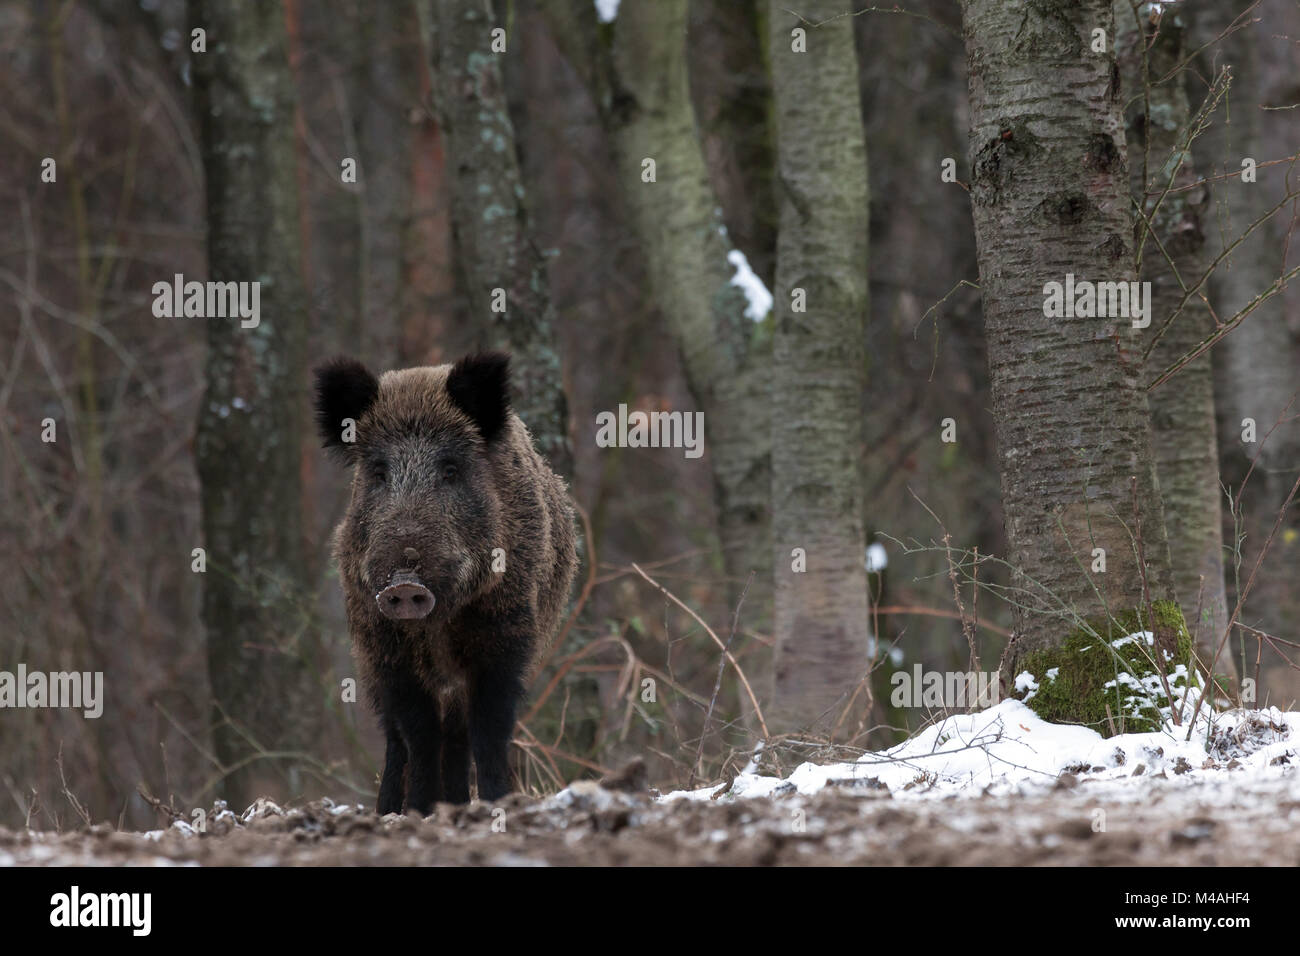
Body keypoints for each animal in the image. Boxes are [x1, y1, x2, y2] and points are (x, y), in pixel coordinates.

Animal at [313, 351, 576, 811]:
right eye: (379, 472)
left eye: (450, 469)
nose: (403, 584)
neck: (436, 626)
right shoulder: (384, 648)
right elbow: (418, 734)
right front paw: (417, 811)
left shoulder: (505, 634)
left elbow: (488, 729)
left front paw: (495, 804)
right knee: (398, 737)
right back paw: (391, 808)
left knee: (457, 737)